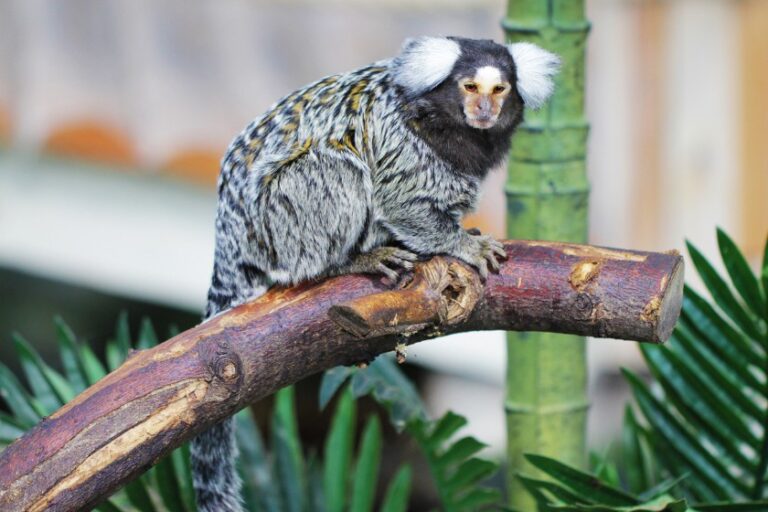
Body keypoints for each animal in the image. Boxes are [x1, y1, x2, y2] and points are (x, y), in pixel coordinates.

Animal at [190, 36, 560, 511]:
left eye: (500, 90)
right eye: (470, 86)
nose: (483, 108)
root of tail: (230, 235)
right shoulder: (403, 145)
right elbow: (401, 202)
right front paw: (461, 244)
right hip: (280, 220)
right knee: (337, 168)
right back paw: (349, 259)